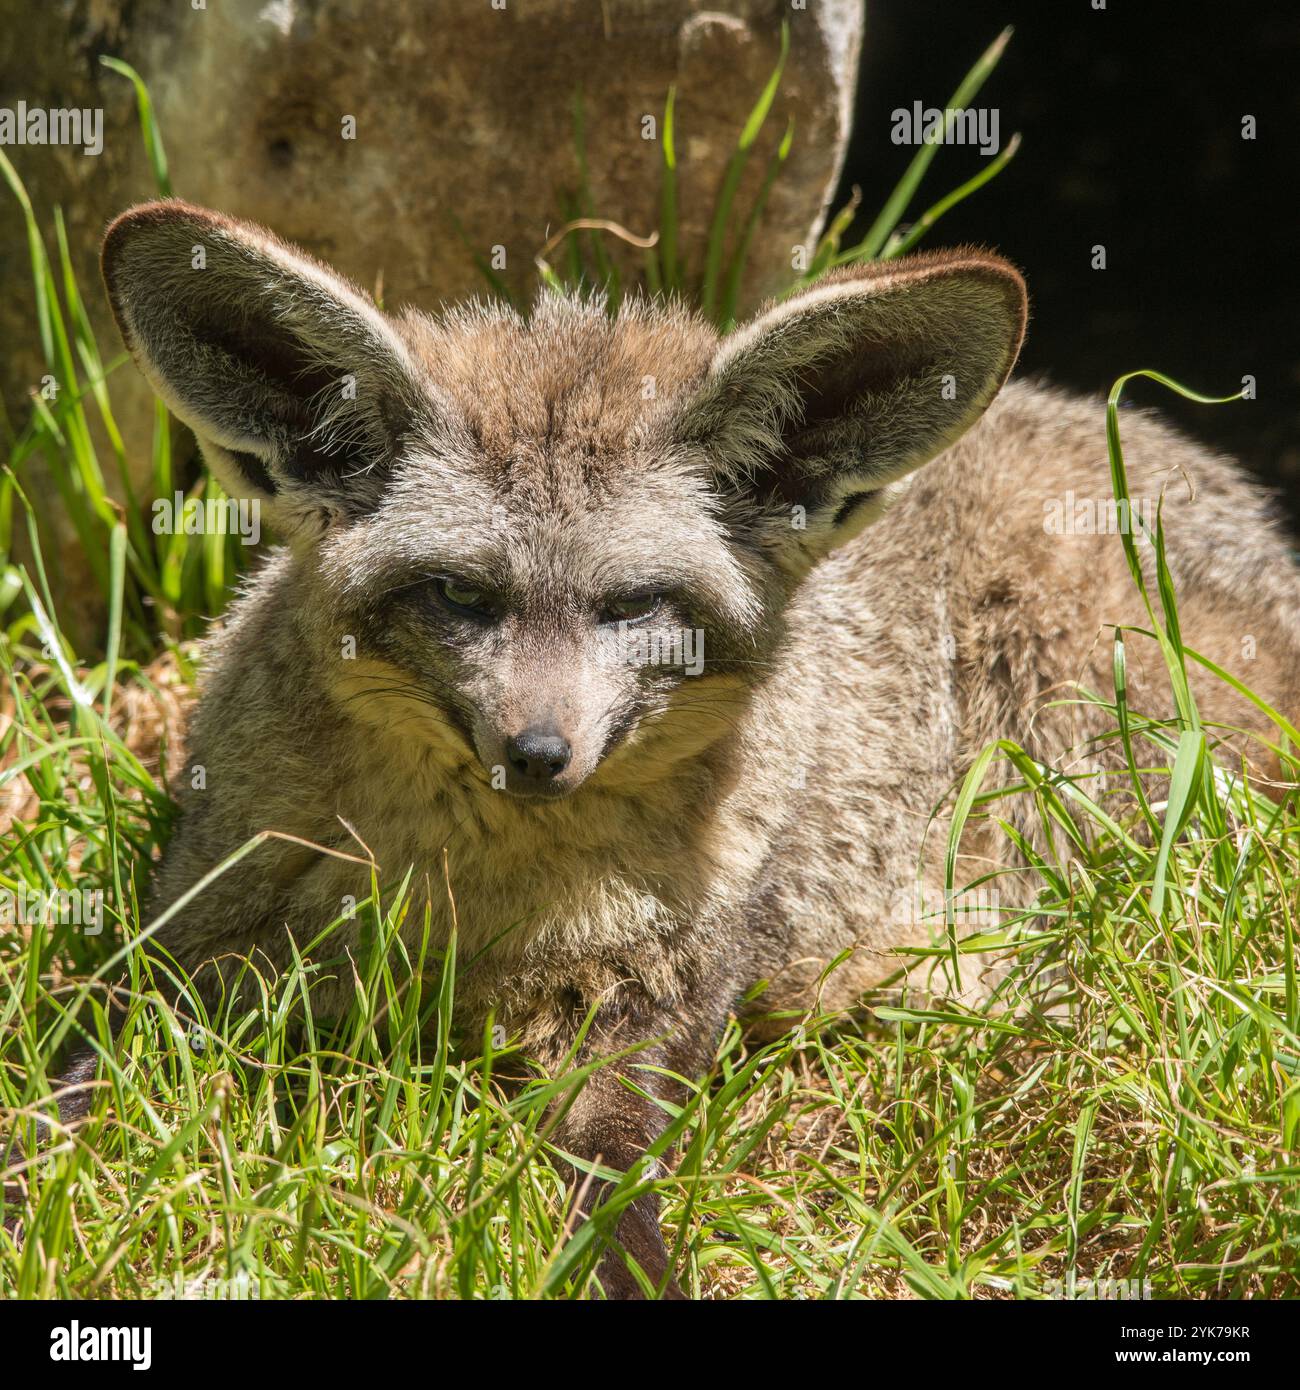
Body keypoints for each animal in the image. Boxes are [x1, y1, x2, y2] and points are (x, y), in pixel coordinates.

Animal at [16, 199, 1298, 1298]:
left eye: (633, 606)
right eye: (458, 596)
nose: (539, 752)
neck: (473, 923)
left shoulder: (646, 1030)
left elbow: (617, 1220)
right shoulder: (177, 952)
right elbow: (44, 1111)